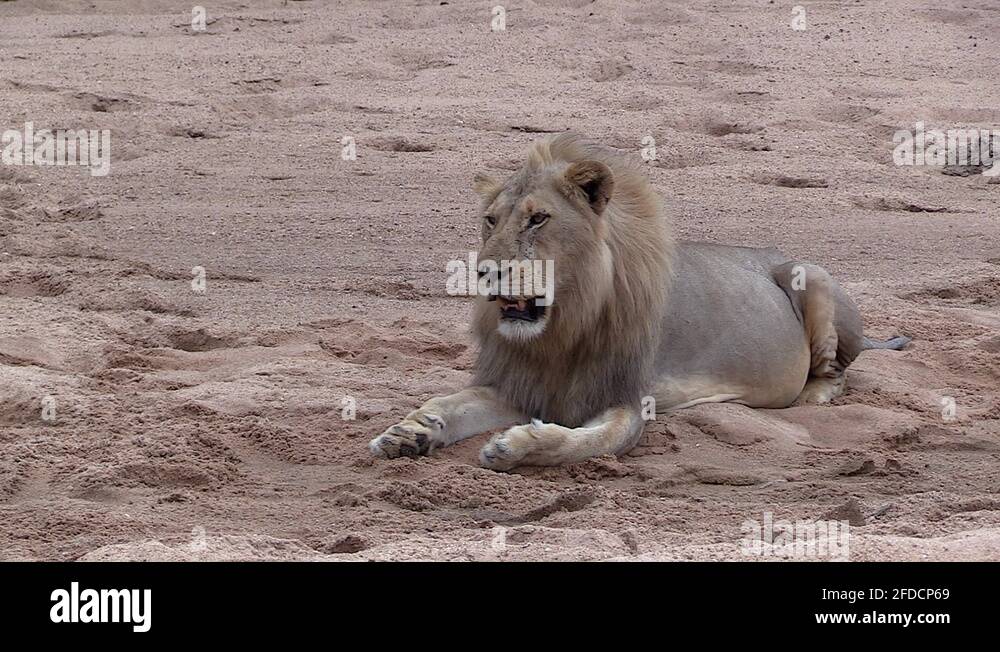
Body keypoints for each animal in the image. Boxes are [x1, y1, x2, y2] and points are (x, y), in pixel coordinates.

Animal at [369, 133, 910, 470]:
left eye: (538, 219)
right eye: (490, 220)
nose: (485, 272)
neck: (562, 328)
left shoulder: (626, 400)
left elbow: (587, 443)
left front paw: (517, 446)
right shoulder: (520, 384)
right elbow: (448, 403)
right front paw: (409, 432)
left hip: (813, 276)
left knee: (837, 371)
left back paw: (813, 397)